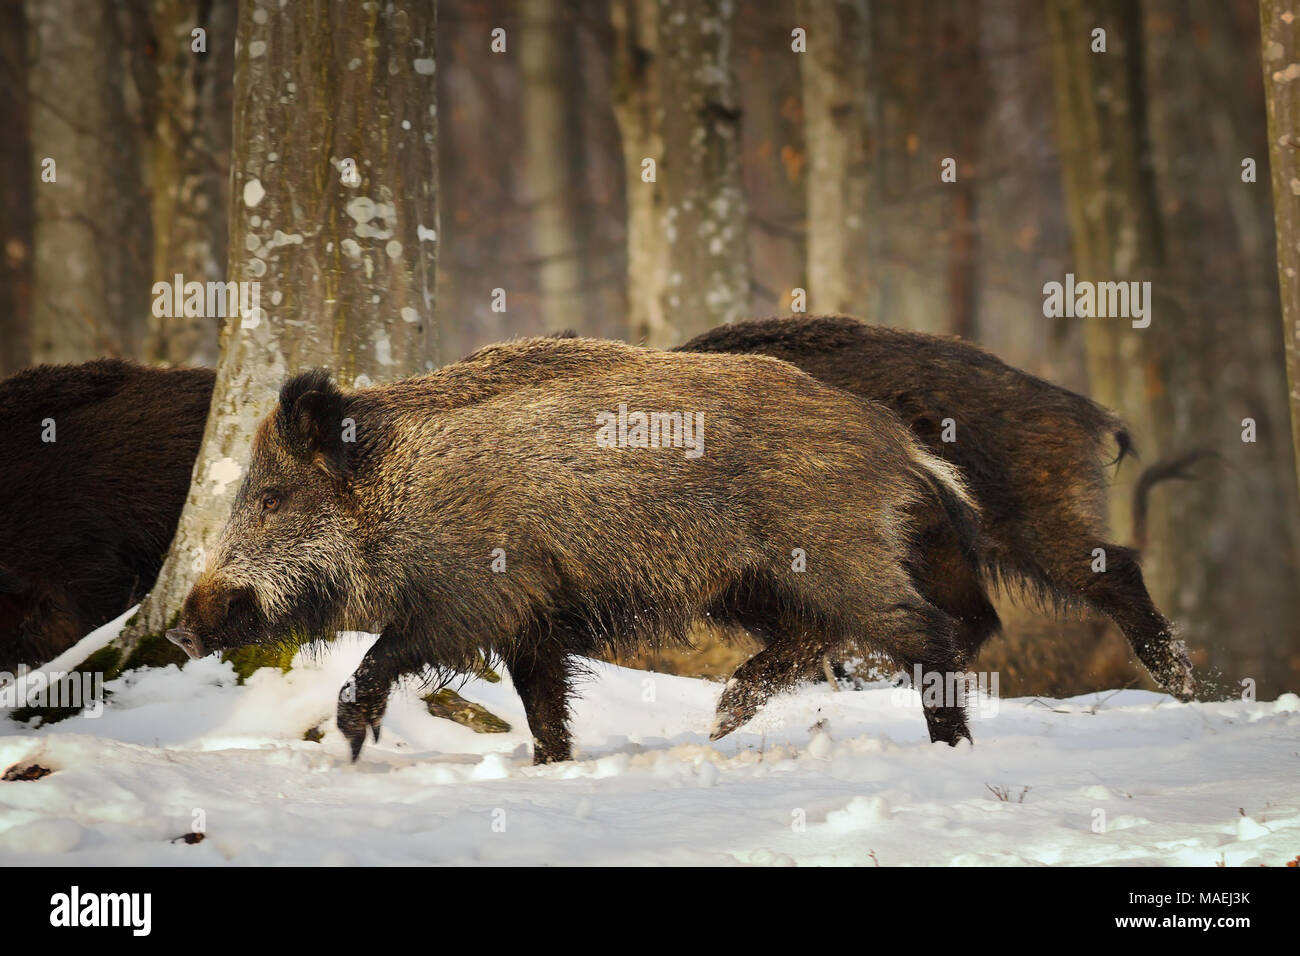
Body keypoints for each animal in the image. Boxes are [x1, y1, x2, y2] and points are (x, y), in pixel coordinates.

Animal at [168, 336, 982, 763]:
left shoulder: (479, 595)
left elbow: (383, 654)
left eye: (272, 500)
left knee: (923, 631)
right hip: (754, 582)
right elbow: (541, 700)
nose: (179, 630)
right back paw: (721, 719)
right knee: (817, 635)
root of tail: (894, 439)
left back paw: (950, 749)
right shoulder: (532, 617)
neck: (398, 491)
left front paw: (354, 740)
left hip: (827, 552)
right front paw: (552, 766)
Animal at [678, 315, 1198, 700]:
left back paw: (1185, 687)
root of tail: (1081, 410)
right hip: (944, 546)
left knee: (1110, 571)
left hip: (1022, 512)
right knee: (977, 616)